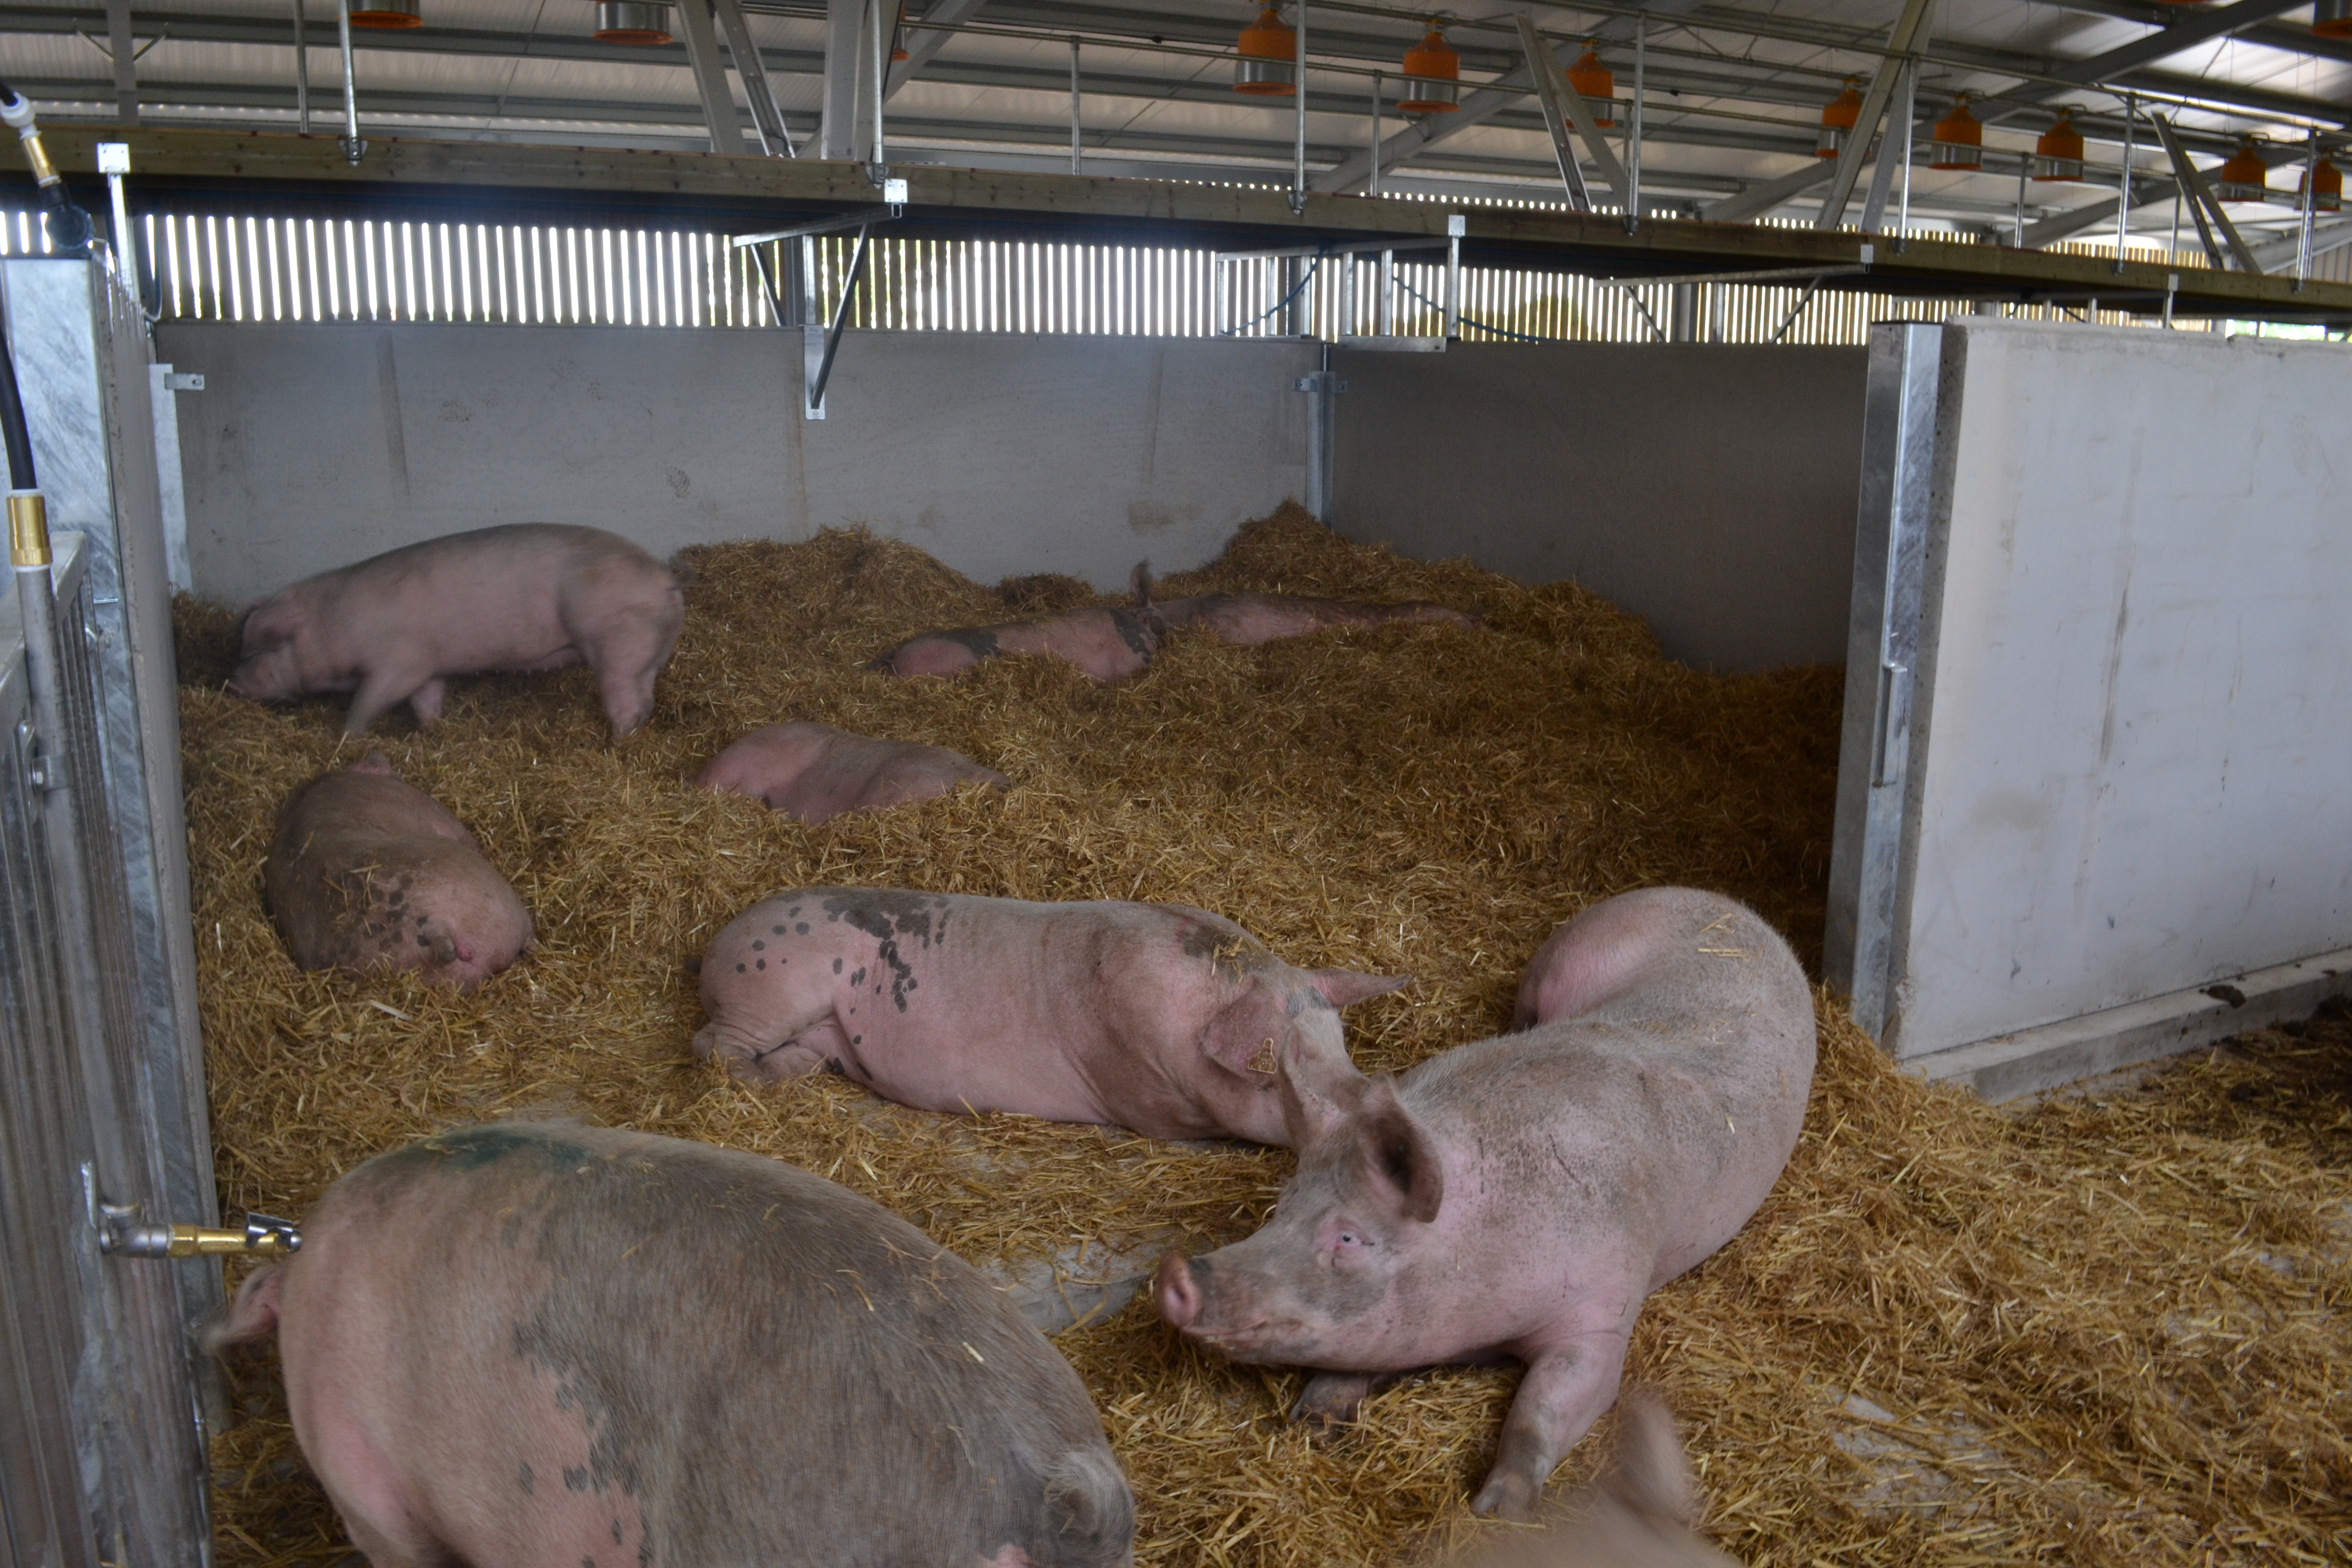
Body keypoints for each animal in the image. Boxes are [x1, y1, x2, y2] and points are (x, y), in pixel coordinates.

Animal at [228, 523, 684, 740]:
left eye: (256, 651)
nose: (230, 684)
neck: (333, 624)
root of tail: (664, 578)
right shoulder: (428, 668)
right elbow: (427, 701)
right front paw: (433, 731)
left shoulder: (399, 664)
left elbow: (368, 703)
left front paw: (344, 736)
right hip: (653, 647)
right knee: (645, 695)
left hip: (618, 644)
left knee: (624, 700)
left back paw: (616, 743)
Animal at [691, 887, 1408, 1147]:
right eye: (1284, 1065)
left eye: (1342, 1043)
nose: (1377, 1102)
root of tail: (717, 940)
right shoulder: (1137, 1086)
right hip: (775, 985)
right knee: (711, 1045)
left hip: (816, 1027)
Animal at [1153, 887, 1814, 1521]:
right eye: (1282, 1208)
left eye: (1347, 1237)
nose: (1178, 1275)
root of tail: (1725, 904)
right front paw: (1314, 1423)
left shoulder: (1606, 1307)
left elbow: (1544, 1411)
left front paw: (1496, 1513)